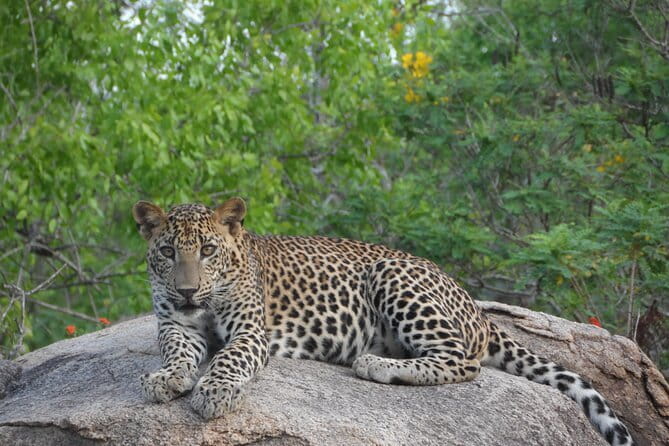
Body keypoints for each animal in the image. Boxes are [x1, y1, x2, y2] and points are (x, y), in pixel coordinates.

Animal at [132, 197, 635, 446]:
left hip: (392, 275)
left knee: (461, 361)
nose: (187, 291)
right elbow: (177, 352)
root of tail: (477, 307)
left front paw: (215, 393)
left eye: (208, 250)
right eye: (168, 251)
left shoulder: (251, 331)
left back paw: (376, 365)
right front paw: (166, 378)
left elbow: (229, 357)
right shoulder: (175, 325)